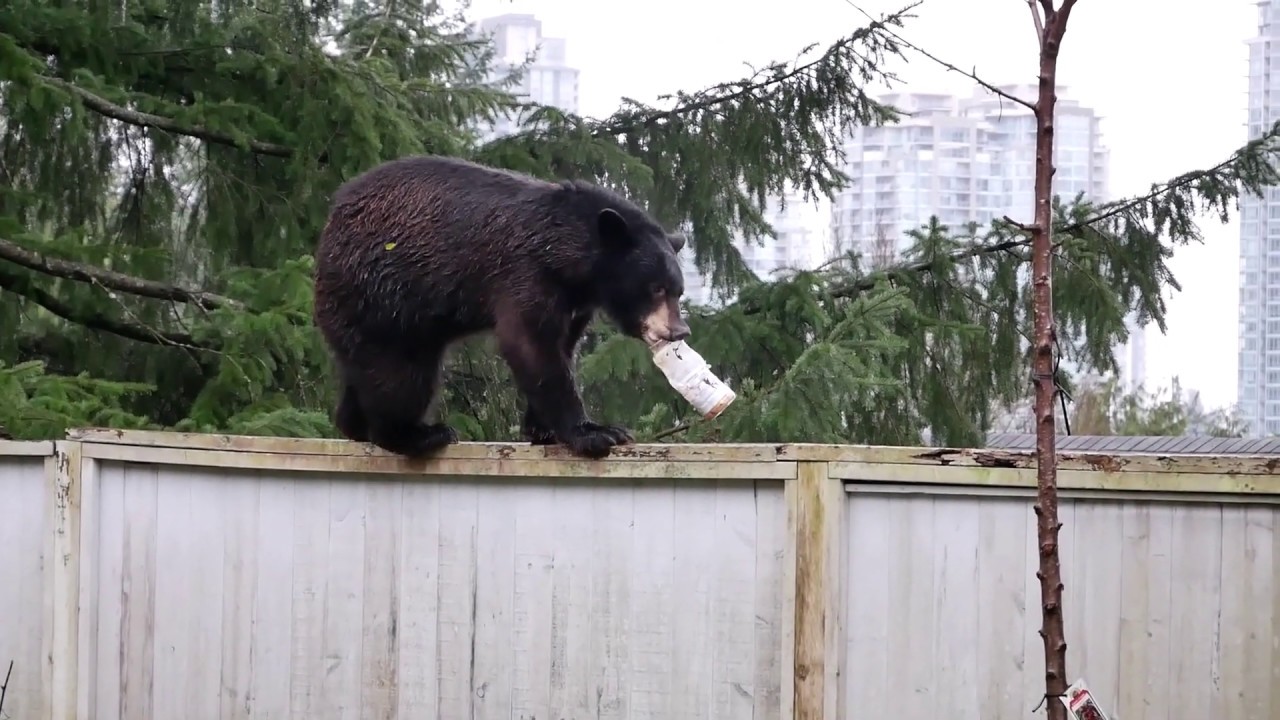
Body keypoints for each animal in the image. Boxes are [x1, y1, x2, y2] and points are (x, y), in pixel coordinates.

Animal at [311, 154, 692, 460]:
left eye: (679, 291)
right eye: (656, 288)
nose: (678, 330)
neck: (567, 252)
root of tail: (330, 224)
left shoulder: (574, 301)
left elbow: (562, 347)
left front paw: (543, 429)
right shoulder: (525, 273)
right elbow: (530, 344)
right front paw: (594, 432)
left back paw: (354, 423)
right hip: (382, 298)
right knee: (400, 375)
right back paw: (417, 434)